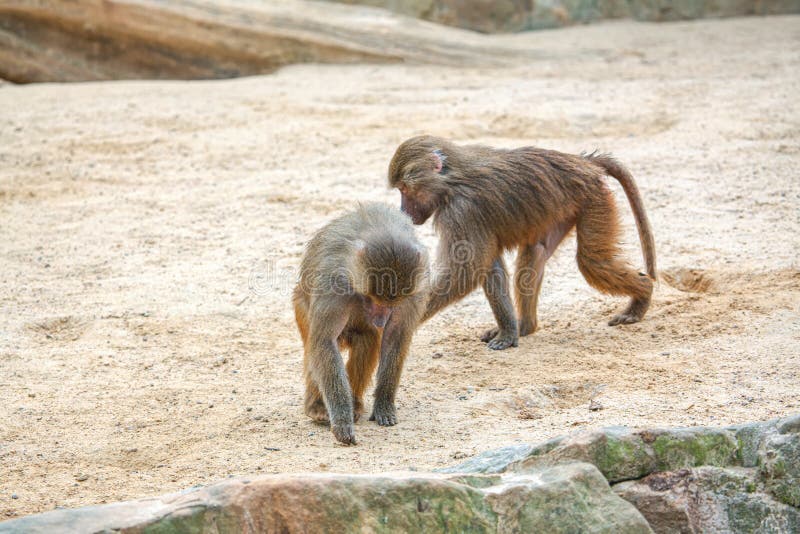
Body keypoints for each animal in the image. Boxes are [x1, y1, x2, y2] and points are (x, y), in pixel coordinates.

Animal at [293, 202, 428, 445]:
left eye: (391, 304)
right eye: (371, 299)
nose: (380, 320)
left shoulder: (416, 287)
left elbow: (396, 336)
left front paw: (384, 405)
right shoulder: (333, 282)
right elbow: (324, 343)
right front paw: (341, 422)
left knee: (366, 341)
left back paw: (354, 403)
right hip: (301, 307)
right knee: (315, 347)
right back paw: (317, 408)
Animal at [388, 135, 656, 351]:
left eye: (405, 190)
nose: (404, 212)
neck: (450, 179)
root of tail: (584, 163)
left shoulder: (462, 212)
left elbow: (465, 272)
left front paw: (398, 322)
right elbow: (489, 267)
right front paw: (508, 333)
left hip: (593, 199)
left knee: (592, 262)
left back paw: (641, 300)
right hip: (563, 210)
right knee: (535, 253)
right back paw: (525, 326)